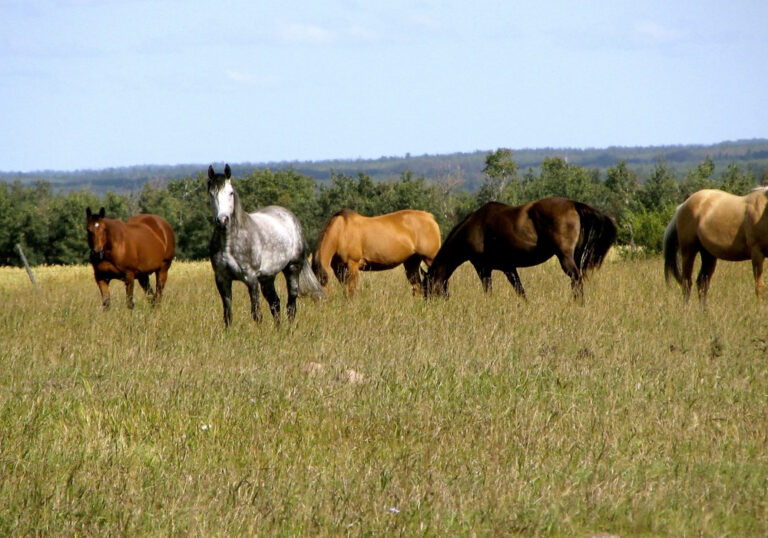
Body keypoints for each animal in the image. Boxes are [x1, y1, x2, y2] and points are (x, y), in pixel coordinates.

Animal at [207, 164, 324, 327]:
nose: (222, 220)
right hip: (267, 277)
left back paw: (290, 330)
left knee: (291, 305)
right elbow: (228, 315)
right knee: (275, 303)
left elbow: (256, 314)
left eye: (230, 193)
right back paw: (278, 330)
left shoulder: (251, 279)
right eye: (211, 194)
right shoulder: (222, 279)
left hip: (292, 268)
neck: (229, 243)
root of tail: (290, 216)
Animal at [311, 208, 441, 296]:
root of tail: (430, 217)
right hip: (411, 262)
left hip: (430, 258)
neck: (341, 231)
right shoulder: (339, 269)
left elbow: (352, 291)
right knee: (417, 287)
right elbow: (346, 291)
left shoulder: (352, 265)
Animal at [421, 198, 617, 302]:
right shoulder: (508, 268)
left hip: (565, 258)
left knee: (576, 279)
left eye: (427, 287)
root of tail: (573, 204)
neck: (473, 227)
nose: (428, 304)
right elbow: (521, 291)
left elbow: (489, 291)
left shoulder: (483, 267)